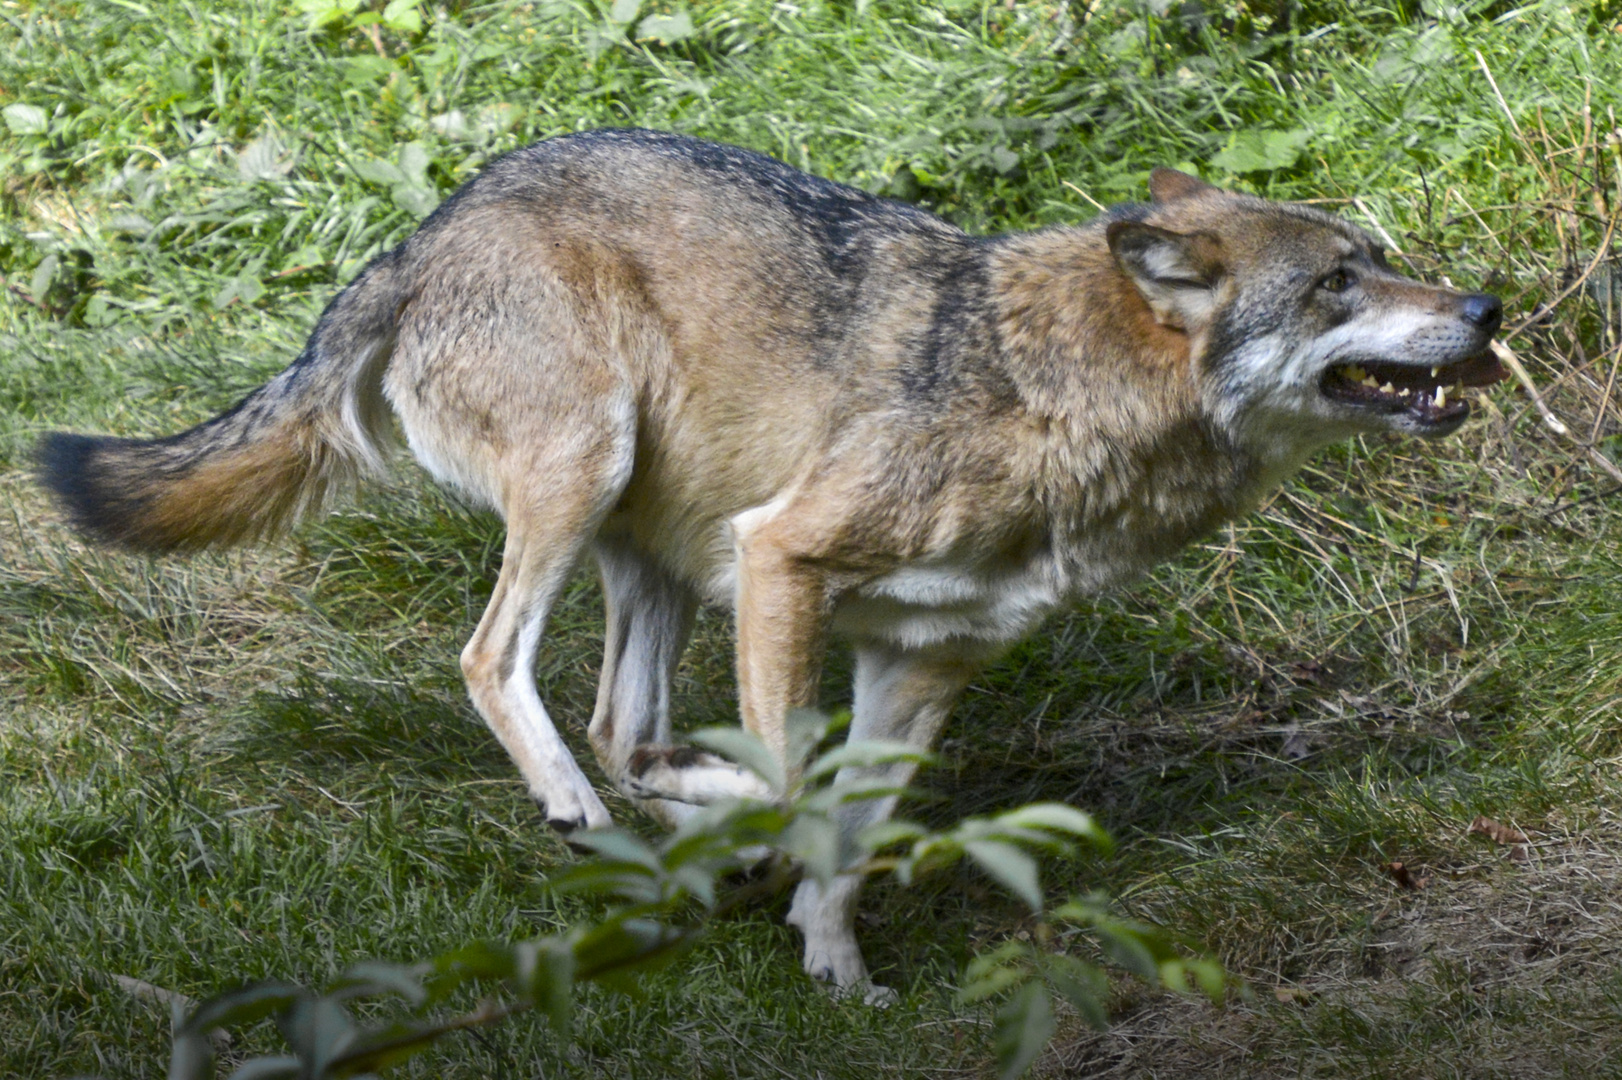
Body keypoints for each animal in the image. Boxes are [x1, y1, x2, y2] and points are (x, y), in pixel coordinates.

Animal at [38, 130, 1505, 998]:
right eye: (1336, 281)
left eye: (1380, 261)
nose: (1486, 307)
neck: (1052, 397)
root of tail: (423, 233)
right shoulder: (783, 562)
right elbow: (804, 787)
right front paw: (760, 852)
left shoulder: (921, 665)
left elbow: (852, 831)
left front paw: (837, 971)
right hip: (591, 481)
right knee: (498, 668)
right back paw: (602, 809)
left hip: (659, 564)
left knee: (614, 722)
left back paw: (662, 812)